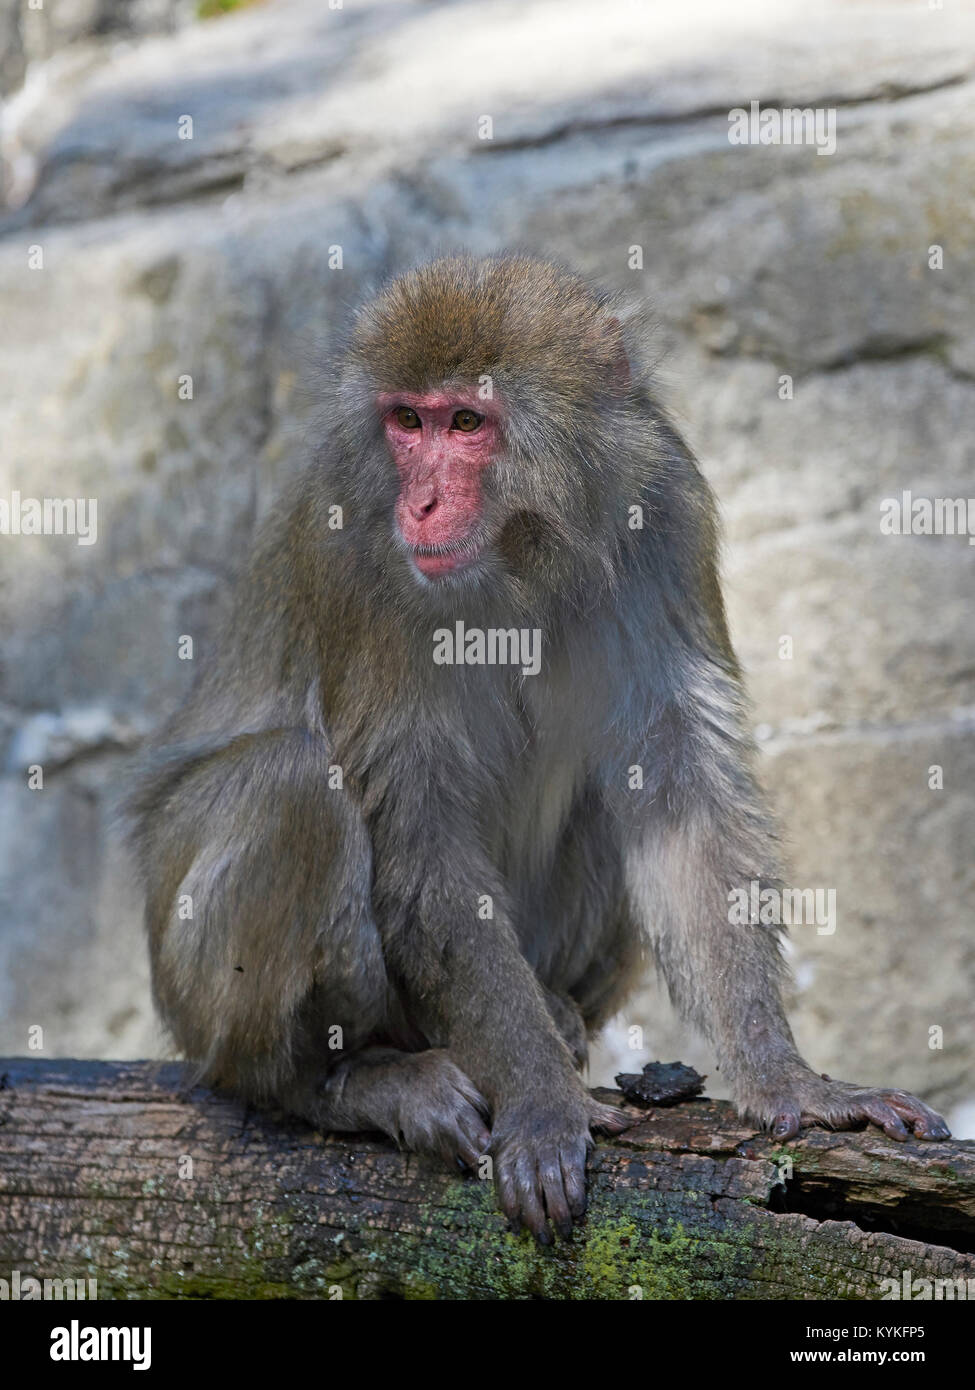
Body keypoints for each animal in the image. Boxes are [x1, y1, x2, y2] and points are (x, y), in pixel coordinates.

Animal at [129, 254, 949, 1244]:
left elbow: (678, 792)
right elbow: (423, 840)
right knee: (286, 786)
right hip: (190, 993)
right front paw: (543, 1102)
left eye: (465, 423)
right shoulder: (358, 550)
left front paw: (787, 1080)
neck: (518, 546)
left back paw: (554, 1012)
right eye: (406, 421)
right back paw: (339, 1081)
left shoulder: (662, 510)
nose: (421, 503)